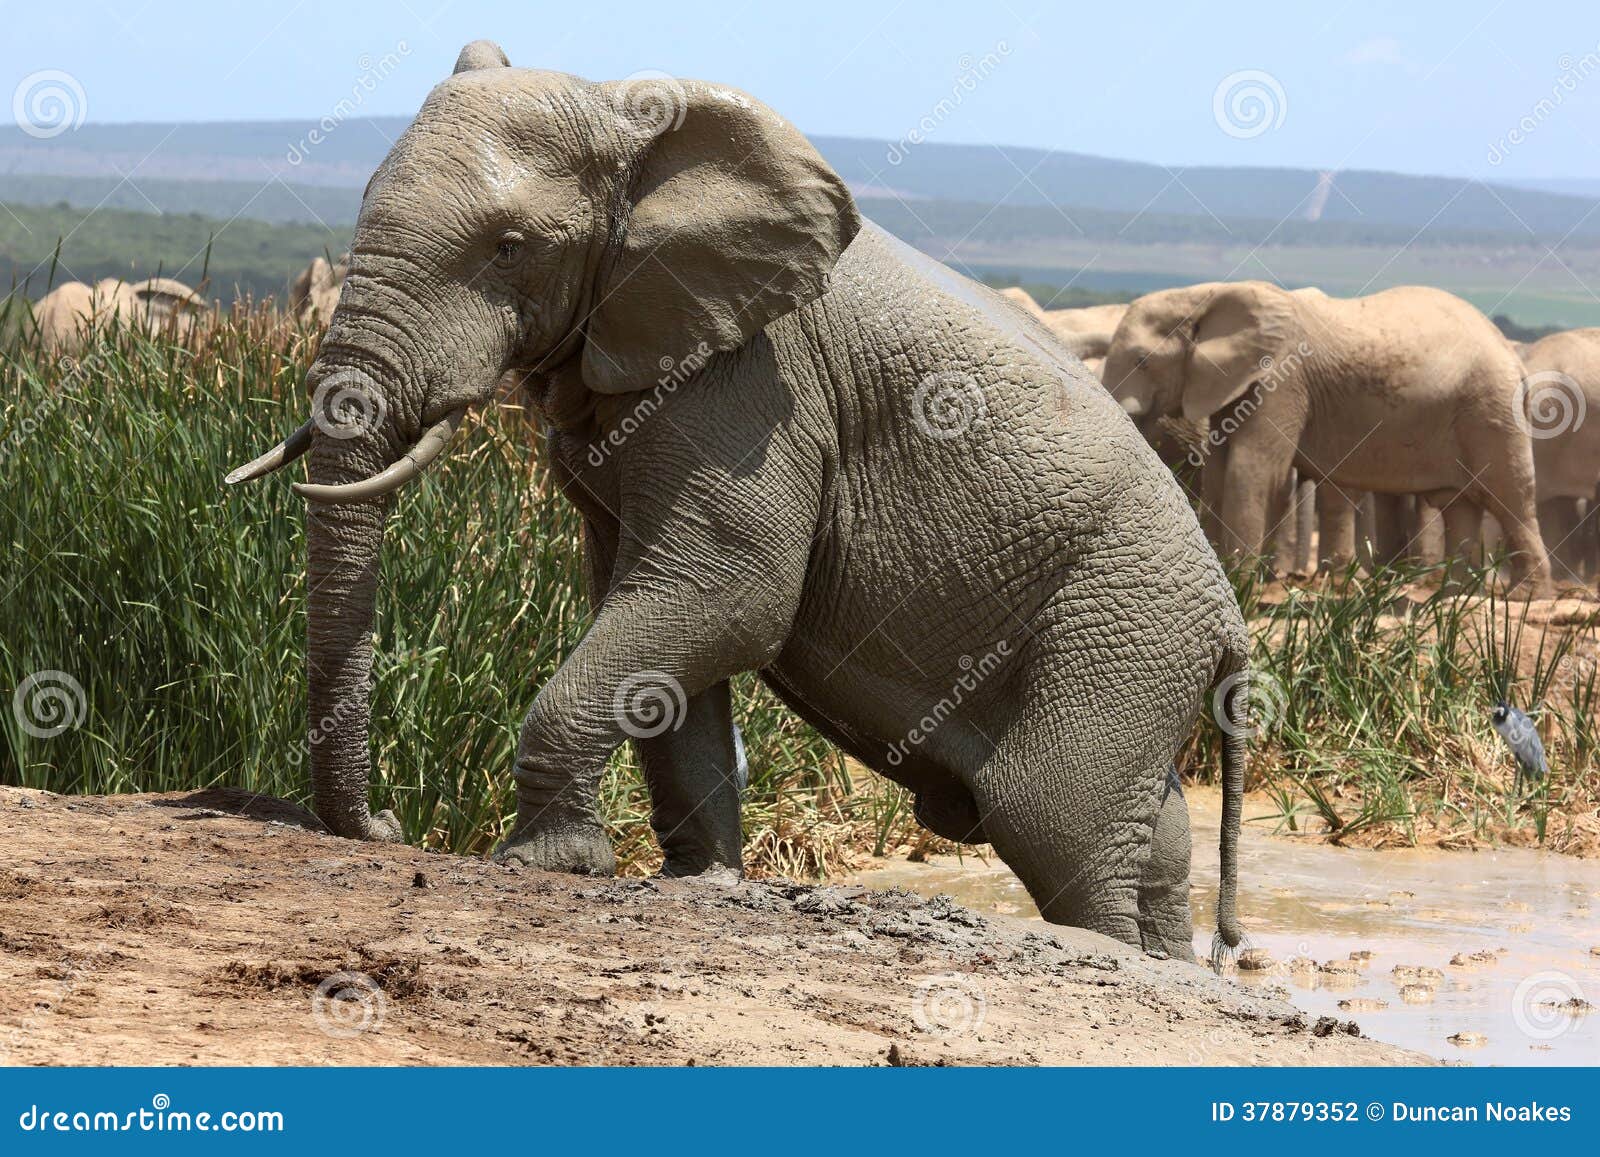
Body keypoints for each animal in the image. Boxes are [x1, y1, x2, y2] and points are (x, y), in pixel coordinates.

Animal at [227, 42, 1251, 961]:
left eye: (510, 248)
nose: (386, 825)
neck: (626, 113)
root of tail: (1232, 617)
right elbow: (659, 621)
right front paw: (700, 882)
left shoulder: (749, 387)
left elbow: (726, 595)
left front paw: (547, 864)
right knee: (1154, 841)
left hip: (1119, 631)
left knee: (1054, 816)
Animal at [1105, 281, 1551, 592]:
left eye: (1142, 361)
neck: (1202, 294)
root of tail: (1515, 357)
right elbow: (1219, 470)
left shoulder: (1282, 380)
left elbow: (1252, 470)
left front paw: (1240, 582)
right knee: (1460, 505)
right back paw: (1452, 597)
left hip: (1491, 410)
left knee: (1511, 499)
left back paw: (1523, 595)